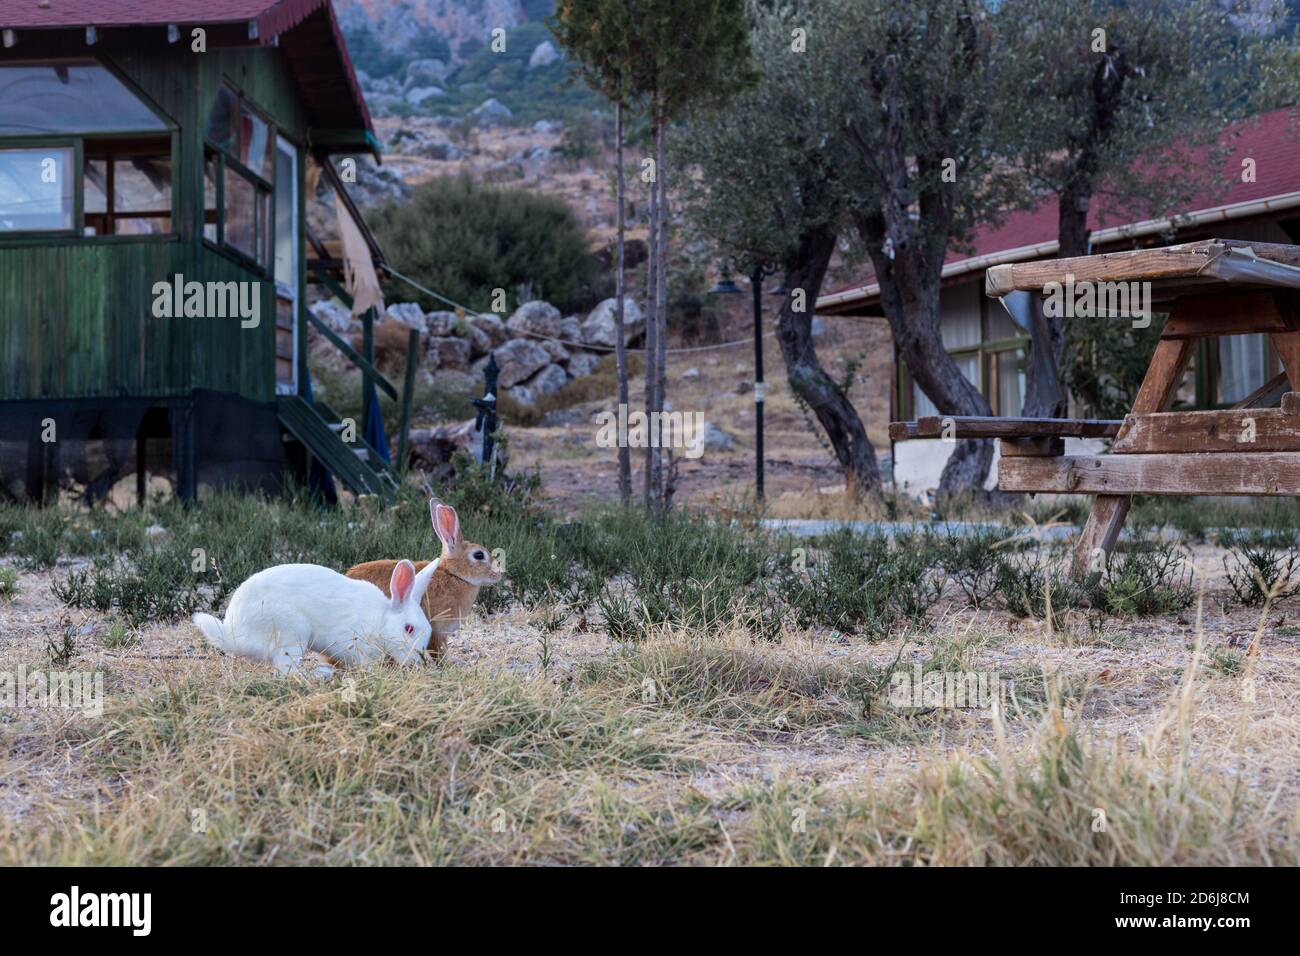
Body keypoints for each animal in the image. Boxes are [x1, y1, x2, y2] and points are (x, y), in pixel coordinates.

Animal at [193, 559, 439, 679]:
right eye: (408, 629)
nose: (417, 662)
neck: (380, 621)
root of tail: (234, 635)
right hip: (292, 634)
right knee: (288, 671)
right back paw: (321, 675)